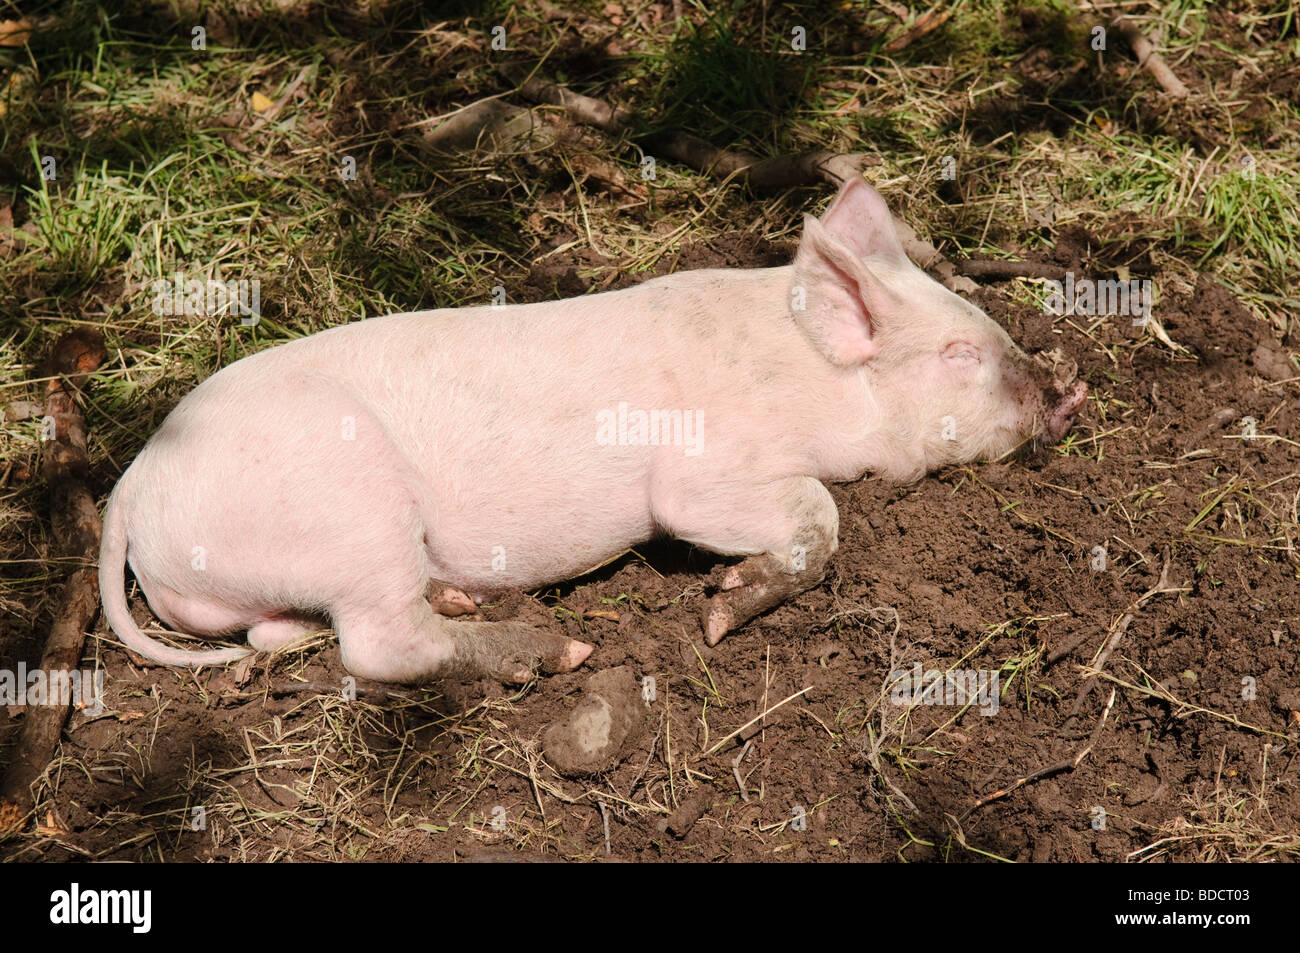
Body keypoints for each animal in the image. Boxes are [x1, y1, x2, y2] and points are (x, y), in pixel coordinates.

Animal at [99, 177, 1087, 684]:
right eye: (959, 352)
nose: (1065, 392)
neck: (803, 374)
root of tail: (134, 486)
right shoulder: (701, 474)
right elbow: (812, 508)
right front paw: (719, 611)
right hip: (351, 504)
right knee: (380, 644)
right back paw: (556, 650)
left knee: (285, 634)